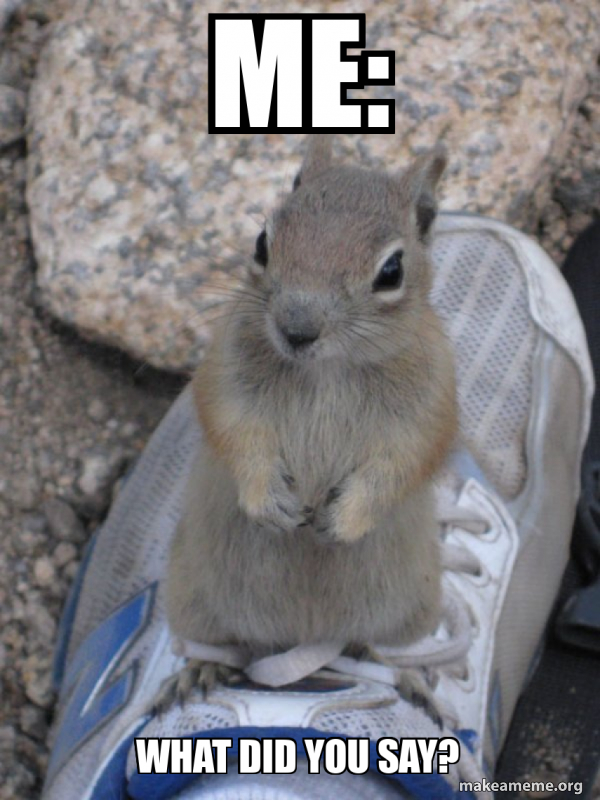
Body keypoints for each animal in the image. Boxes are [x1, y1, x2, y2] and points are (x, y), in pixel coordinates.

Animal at [163, 134, 458, 702]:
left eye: (392, 271)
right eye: (262, 242)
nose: (296, 328)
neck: (326, 370)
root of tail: (305, 634)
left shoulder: (427, 409)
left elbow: (400, 465)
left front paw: (344, 519)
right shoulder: (227, 378)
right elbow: (237, 435)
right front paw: (269, 501)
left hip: (415, 609)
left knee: (365, 644)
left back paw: (403, 677)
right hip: (190, 597)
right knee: (229, 645)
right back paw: (203, 670)